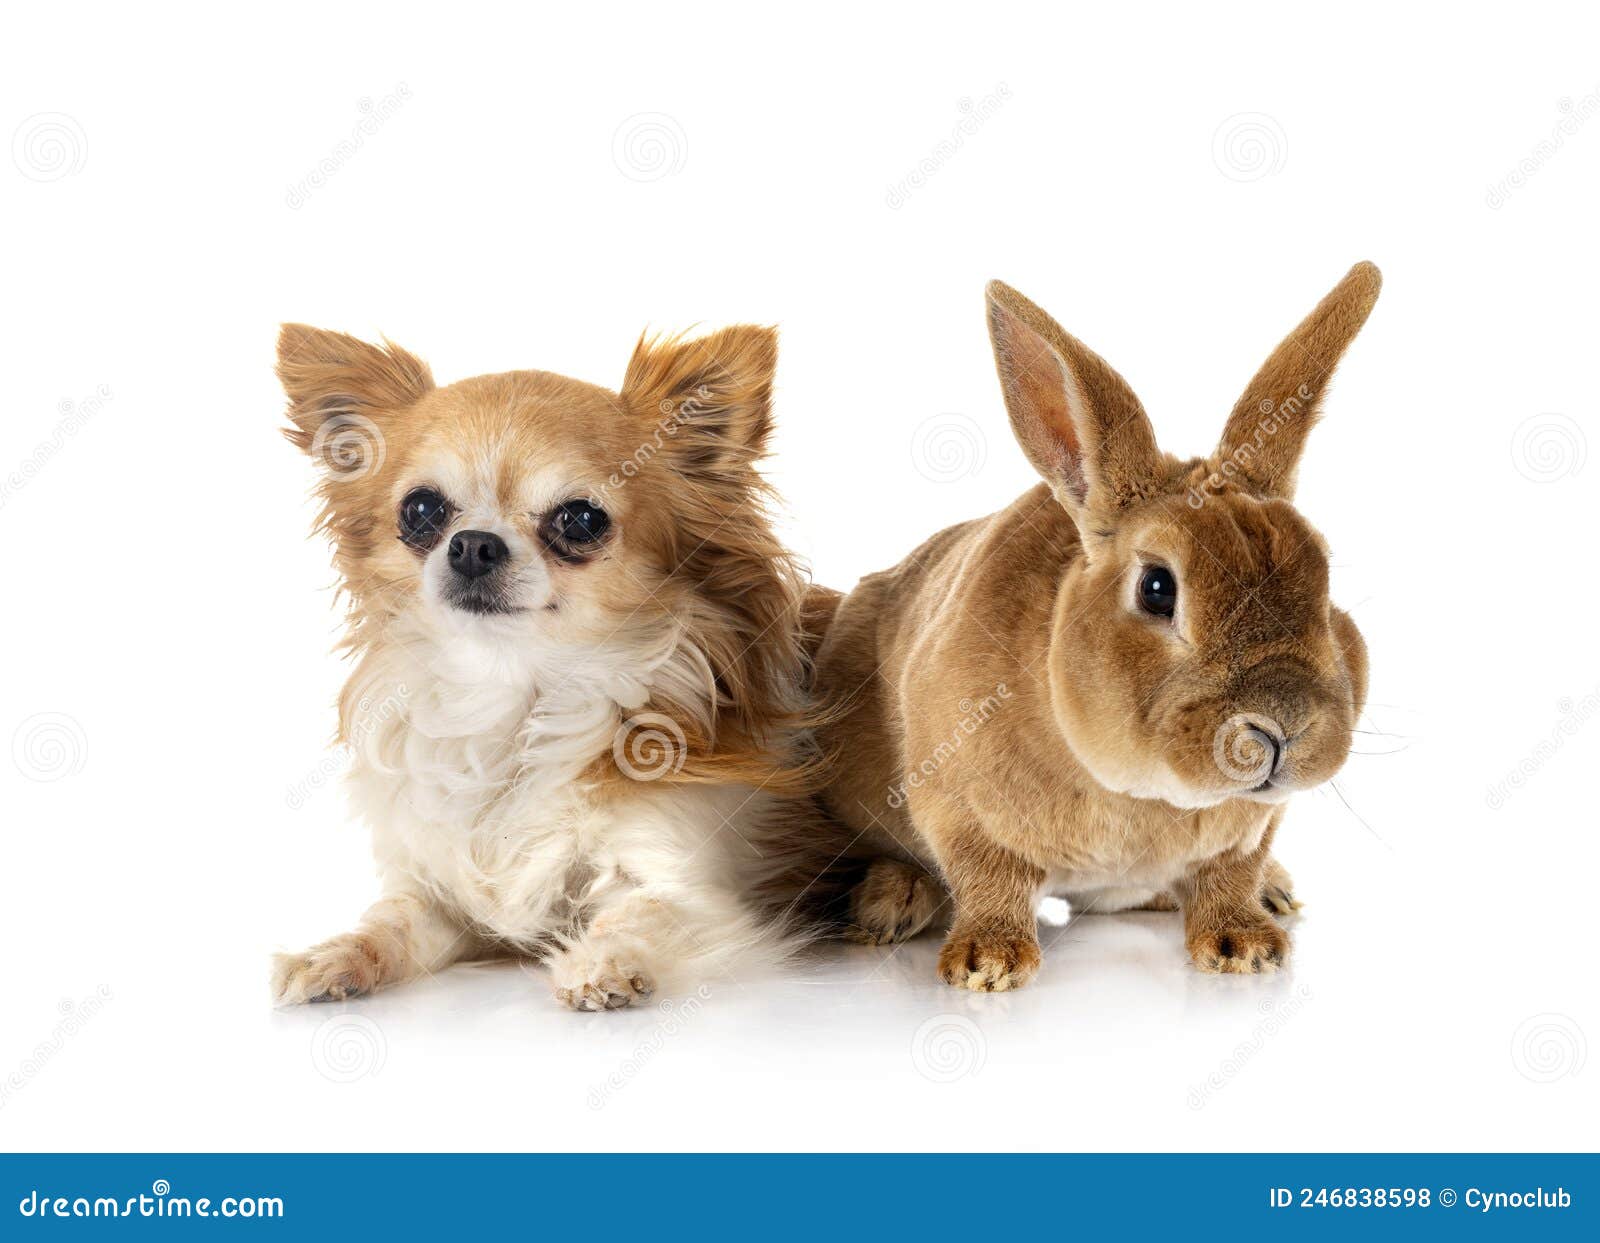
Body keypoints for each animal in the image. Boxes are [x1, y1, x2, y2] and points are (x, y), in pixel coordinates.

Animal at [804, 263, 1378, 990]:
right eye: (1157, 588)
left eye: (1323, 575)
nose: (1284, 725)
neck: (1147, 793)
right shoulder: (957, 804)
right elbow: (987, 876)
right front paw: (988, 963)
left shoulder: (1254, 826)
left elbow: (1229, 873)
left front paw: (1248, 946)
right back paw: (890, 905)